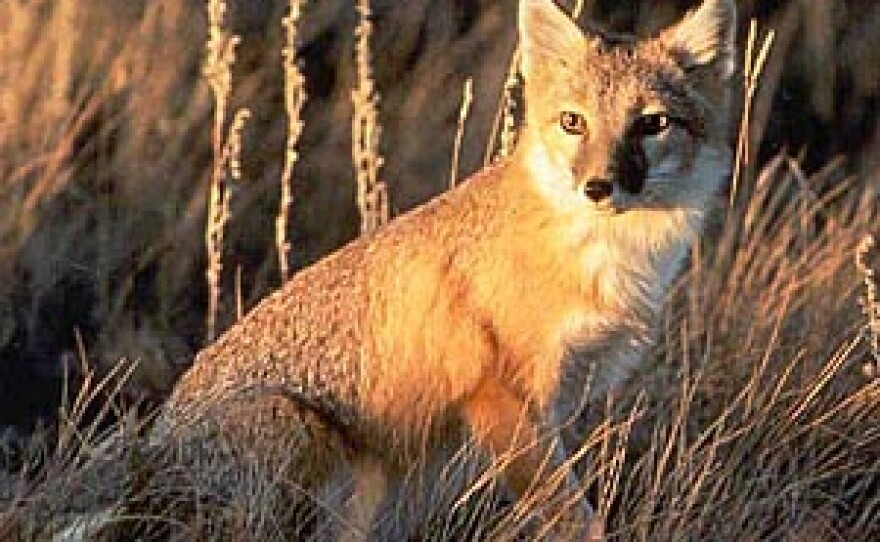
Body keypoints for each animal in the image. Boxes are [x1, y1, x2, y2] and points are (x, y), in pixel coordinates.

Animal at [157, 0, 736, 538]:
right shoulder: (507, 397)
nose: (598, 186)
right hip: (300, 429)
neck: (604, 256)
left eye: (652, 124)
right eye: (574, 123)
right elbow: (577, 520)